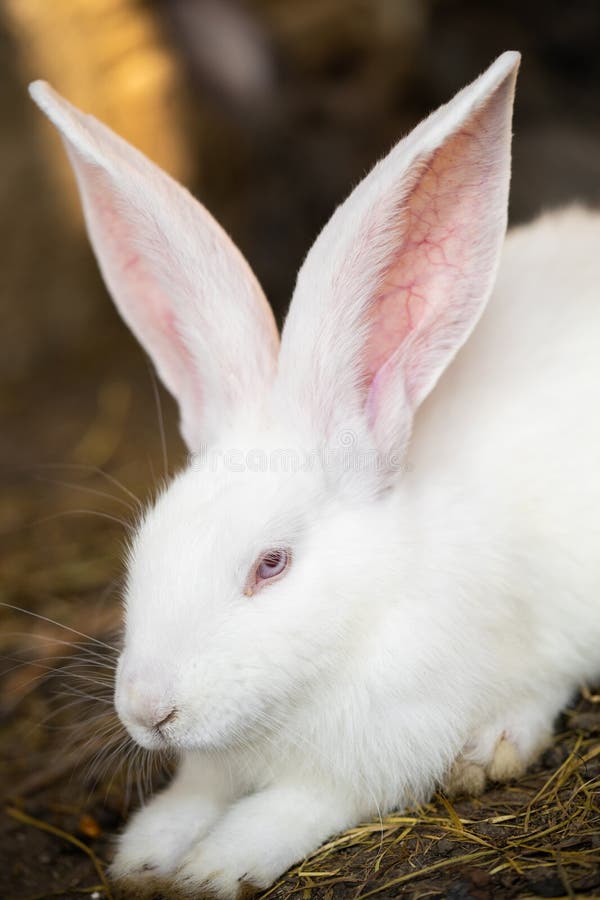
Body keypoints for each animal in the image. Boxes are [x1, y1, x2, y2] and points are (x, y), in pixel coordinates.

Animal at [29, 50, 600, 898]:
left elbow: (292, 808)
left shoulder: (368, 762)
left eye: (272, 565)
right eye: (143, 552)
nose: (149, 711)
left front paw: (214, 868)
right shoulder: (212, 769)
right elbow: (190, 798)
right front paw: (145, 858)